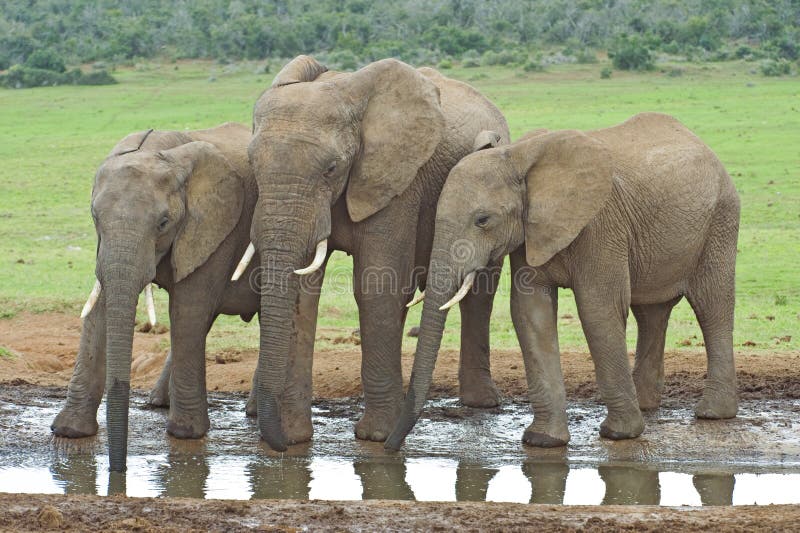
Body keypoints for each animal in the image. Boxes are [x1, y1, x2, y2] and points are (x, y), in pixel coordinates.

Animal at [51, 123, 267, 472]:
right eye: (95, 217)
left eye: (163, 223)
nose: (119, 469)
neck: (157, 150)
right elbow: (100, 312)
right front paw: (70, 431)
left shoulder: (215, 227)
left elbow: (188, 309)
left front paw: (186, 433)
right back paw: (157, 403)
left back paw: (253, 413)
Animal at [235, 55, 510, 451]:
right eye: (252, 166)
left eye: (331, 168)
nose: (278, 445)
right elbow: (303, 292)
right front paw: (295, 438)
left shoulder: (397, 180)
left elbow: (376, 285)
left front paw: (376, 436)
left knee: (480, 292)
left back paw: (479, 403)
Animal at [386, 112, 739, 450]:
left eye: (482, 220)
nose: (391, 446)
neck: (518, 156)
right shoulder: (530, 233)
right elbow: (530, 312)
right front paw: (543, 440)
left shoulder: (600, 223)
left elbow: (598, 309)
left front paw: (619, 434)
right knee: (651, 312)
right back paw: (647, 405)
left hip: (721, 219)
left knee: (712, 306)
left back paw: (713, 414)